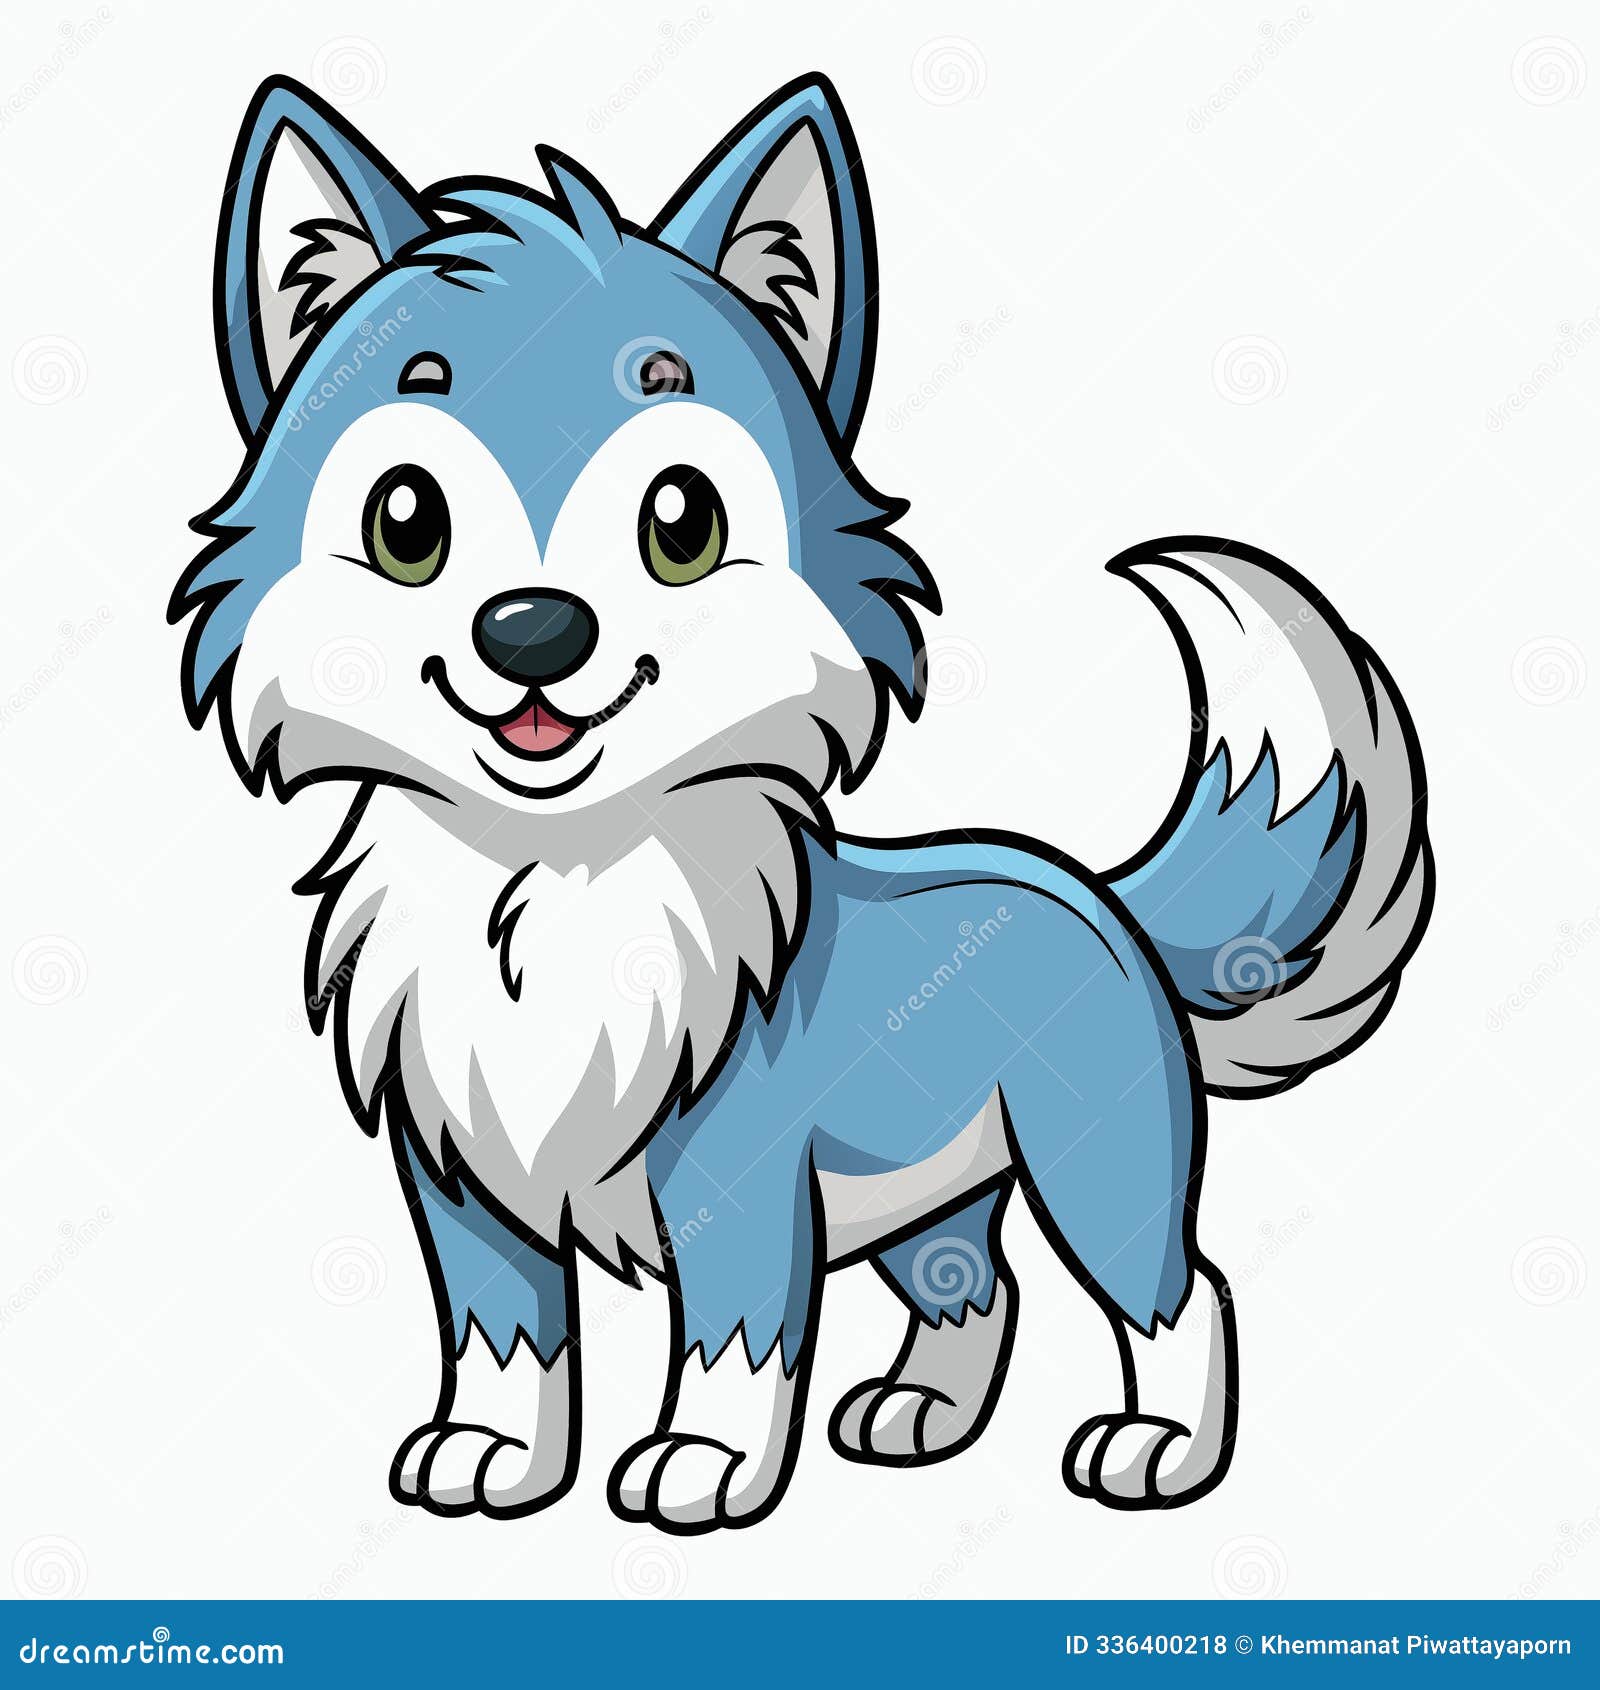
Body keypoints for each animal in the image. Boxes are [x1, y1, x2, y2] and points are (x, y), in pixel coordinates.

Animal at [171, 73, 1433, 1533]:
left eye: (681, 522)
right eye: (406, 519)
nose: (533, 630)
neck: (544, 887)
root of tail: (1085, 886)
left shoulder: (736, 1172)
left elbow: (732, 1336)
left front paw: (702, 1468)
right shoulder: (465, 1176)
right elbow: (504, 1334)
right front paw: (490, 1458)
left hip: (1094, 1162)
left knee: (1176, 1290)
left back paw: (1158, 1446)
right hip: (930, 1195)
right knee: (975, 1286)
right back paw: (918, 1417)